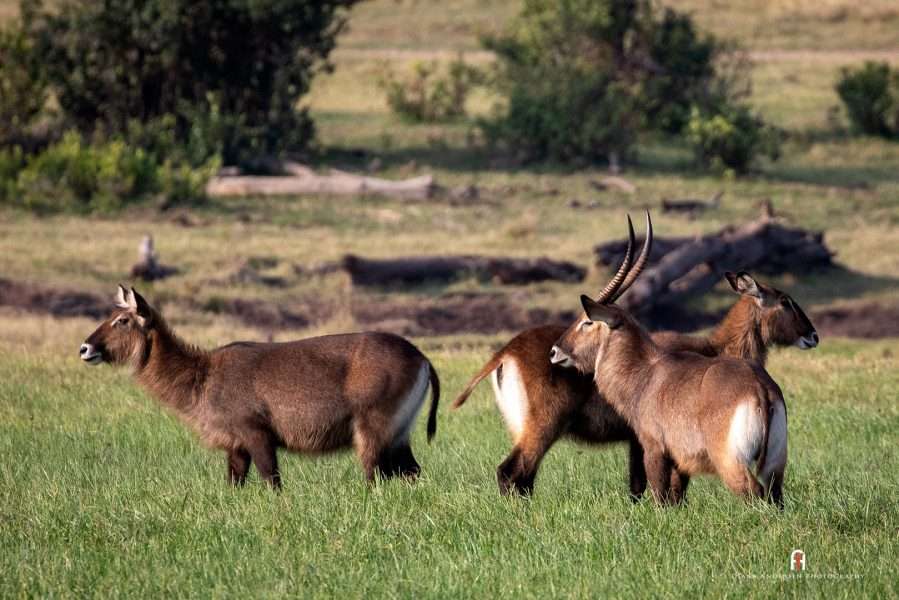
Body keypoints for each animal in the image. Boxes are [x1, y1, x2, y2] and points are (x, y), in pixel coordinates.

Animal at [80, 286, 440, 488]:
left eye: (122, 320)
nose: (85, 348)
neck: (201, 375)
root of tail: (420, 355)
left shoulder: (256, 433)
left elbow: (271, 481)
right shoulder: (235, 445)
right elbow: (234, 483)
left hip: (371, 430)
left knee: (376, 476)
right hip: (399, 433)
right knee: (411, 471)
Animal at [550, 294, 789, 508]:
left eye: (587, 322)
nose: (554, 351)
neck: (643, 372)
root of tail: (758, 385)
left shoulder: (653, 447)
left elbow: (659, 493)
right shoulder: (679, 458)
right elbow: (676, 493)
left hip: (730, 462)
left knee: (753, 491)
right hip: (774, 464)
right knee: (775, 495)